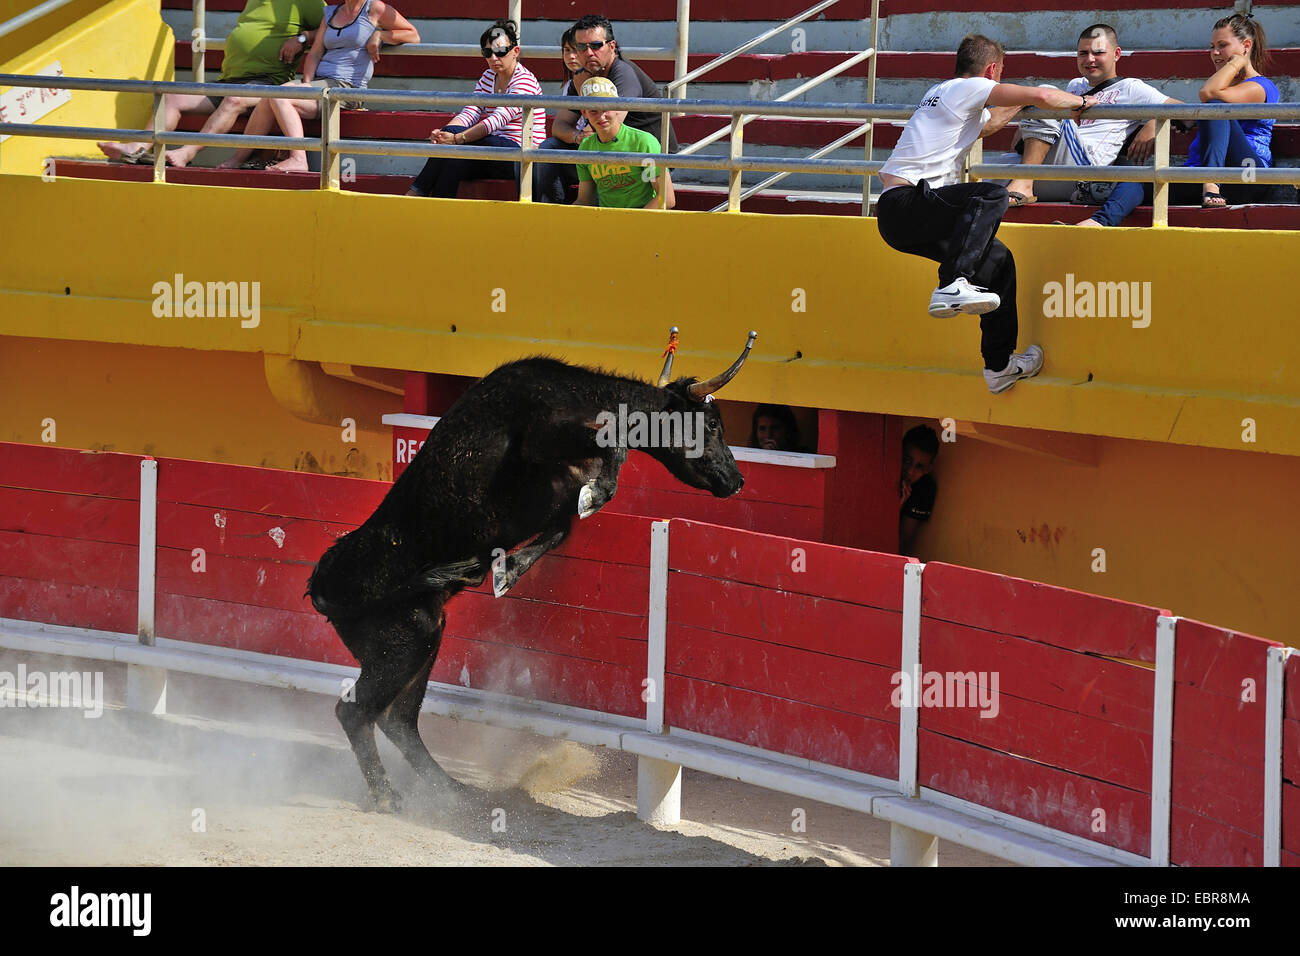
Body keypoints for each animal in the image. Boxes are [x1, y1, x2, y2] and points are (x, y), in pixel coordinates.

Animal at [307, 329, 756, 811]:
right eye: (712, 425)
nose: (737, 480)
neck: (575, 397)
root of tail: (322, 585)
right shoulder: (542, 442)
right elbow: (611, 444)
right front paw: (593, 496)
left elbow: (566, 521)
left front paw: (507, 570)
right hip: (403, 644)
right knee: (355, 712)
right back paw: (387, 796)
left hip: (423, 638)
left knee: (398, 719)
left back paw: (450, 790)